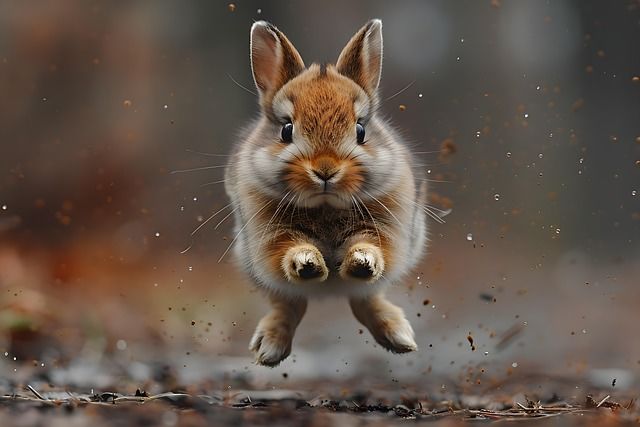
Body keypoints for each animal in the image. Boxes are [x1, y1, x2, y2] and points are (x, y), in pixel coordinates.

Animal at [224, 19, 428, 367]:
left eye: (360, 130)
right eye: (286, 130)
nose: (325, 169)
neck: (326, 206)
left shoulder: (387, 230)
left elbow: (373, 247)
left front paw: (362, 261)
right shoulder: (268, 239)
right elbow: (287, 251)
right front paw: (308, 262)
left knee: (365, 300)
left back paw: (398, 336)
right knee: (290, 305)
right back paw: (270, 348)